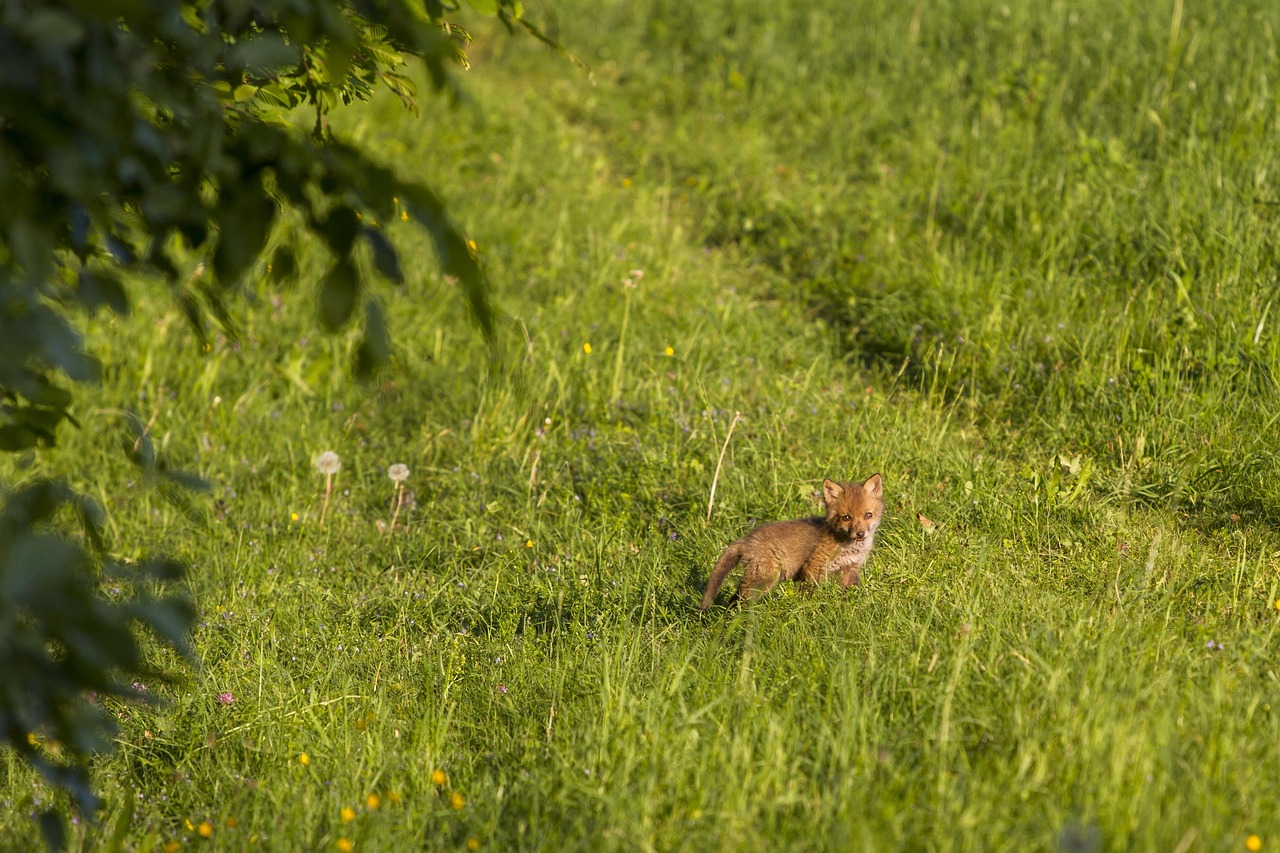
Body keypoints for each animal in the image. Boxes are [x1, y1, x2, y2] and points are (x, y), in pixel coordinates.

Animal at [700, 474, 883, 610]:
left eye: (868, 515)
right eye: (846, 518)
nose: (860, 533)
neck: (847, 547)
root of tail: (748, 537)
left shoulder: (850, 569)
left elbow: (851, 593)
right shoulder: (813, 567)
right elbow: (810, 594)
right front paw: (810, 609)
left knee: (735, 597)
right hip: (764, 580)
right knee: (743, 597)